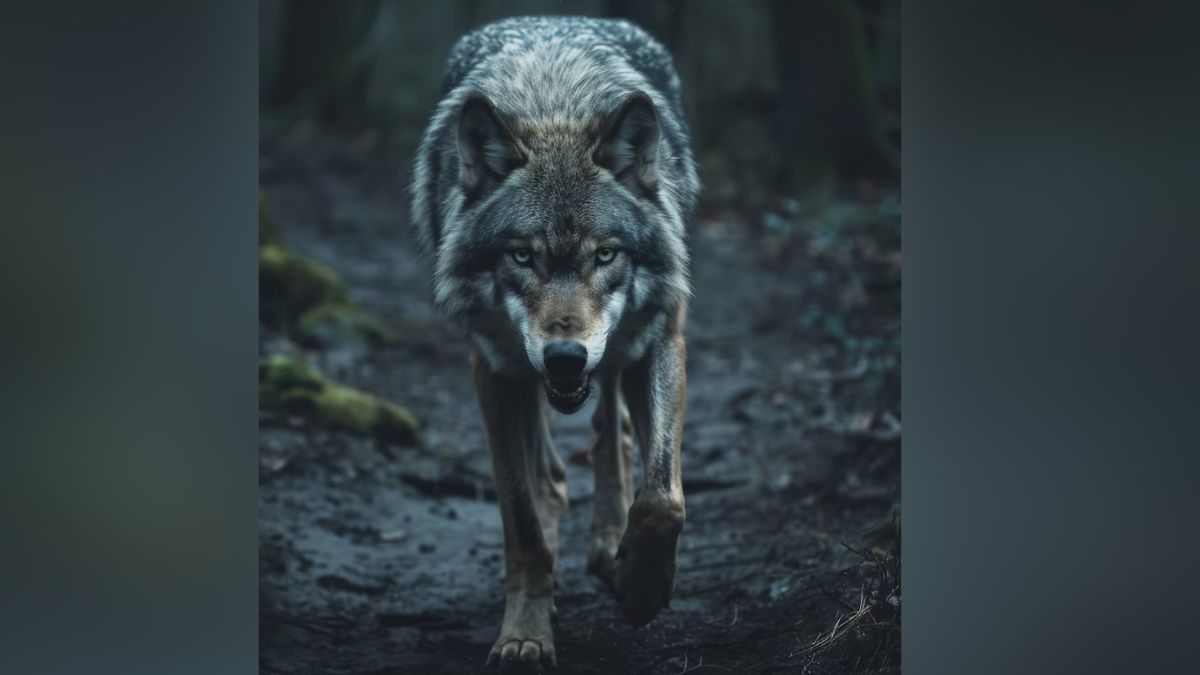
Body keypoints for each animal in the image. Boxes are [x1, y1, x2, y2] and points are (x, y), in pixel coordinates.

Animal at [410, 16, 699, 671]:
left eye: (606, 254)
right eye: (522, 256)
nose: (565, 357)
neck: (555, 105)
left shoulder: (661, 335)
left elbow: (662, 499)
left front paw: (642, 588)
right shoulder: (492, 368)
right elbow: (521, 523)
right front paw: (525, 631)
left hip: (622, 352)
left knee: (615, 433)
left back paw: (609, 545)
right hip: (523, 373)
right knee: (549, 474)